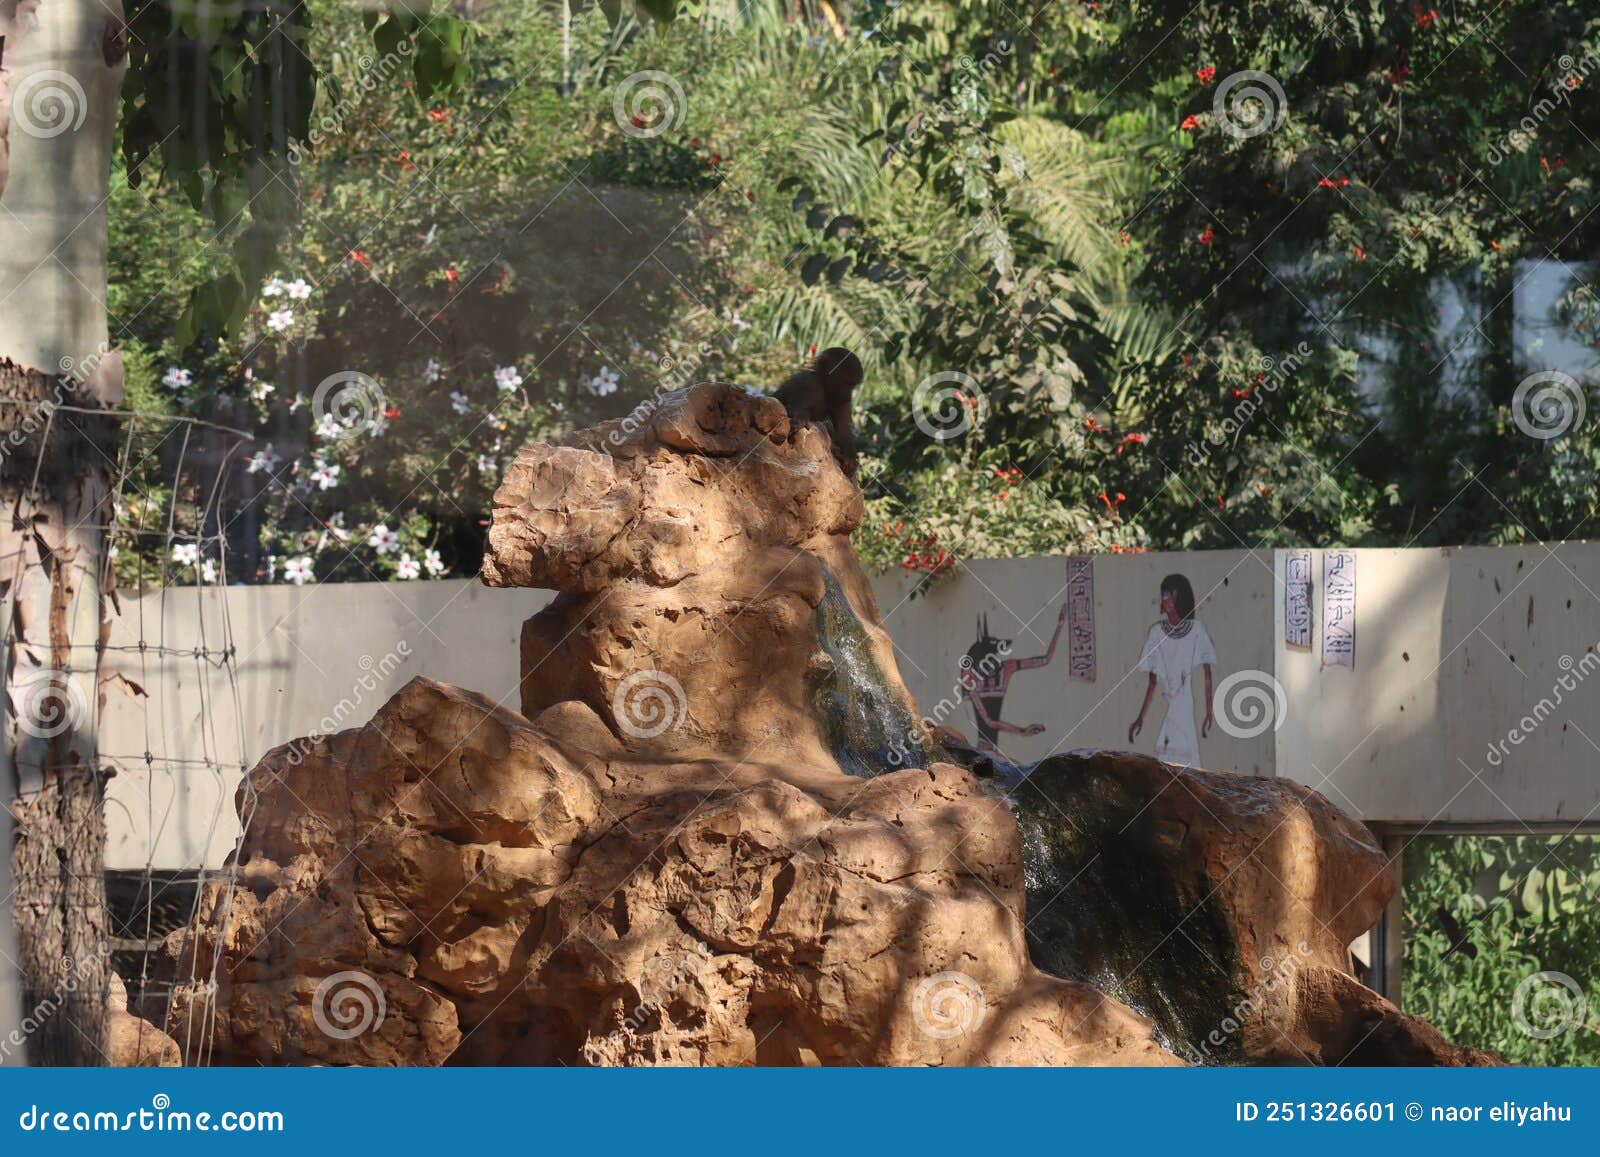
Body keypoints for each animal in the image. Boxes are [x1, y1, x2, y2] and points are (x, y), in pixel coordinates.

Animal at [773, 346, 863, 478]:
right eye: (845, 384)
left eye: (852, 386)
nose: (848, 394)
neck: (823, 384)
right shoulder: (809, 382)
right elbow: (797, 406)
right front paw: (800, 417)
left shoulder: (842, 401)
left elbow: (843, 428)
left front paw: (850, 457)